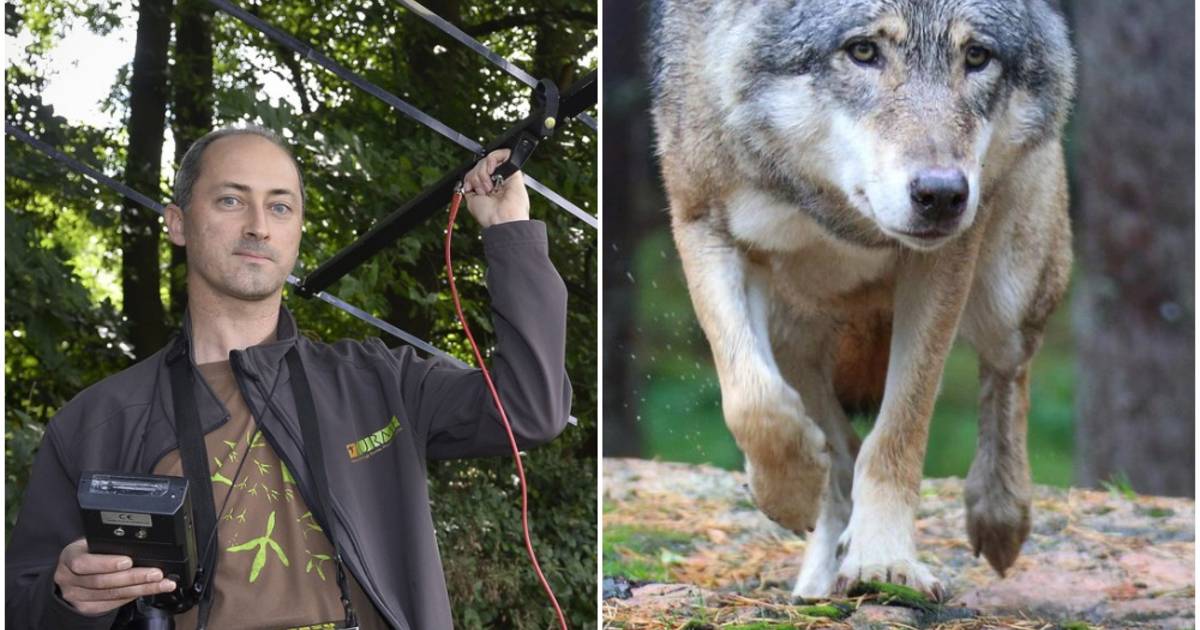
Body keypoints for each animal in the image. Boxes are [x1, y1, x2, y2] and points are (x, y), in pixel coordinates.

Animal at [649, 0, 1074, 599]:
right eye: (864, 51)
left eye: (976, 57)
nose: (942, 194)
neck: (840, 219)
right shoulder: (703, 226)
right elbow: (752, 402)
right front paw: (789, 493)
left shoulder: (944, 260)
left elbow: (900, 429)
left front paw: (884, 560)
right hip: (792, 334)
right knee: (839, 447)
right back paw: (818, 580)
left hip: (1006, 289)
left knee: (1008, 370)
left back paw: (999, 513)